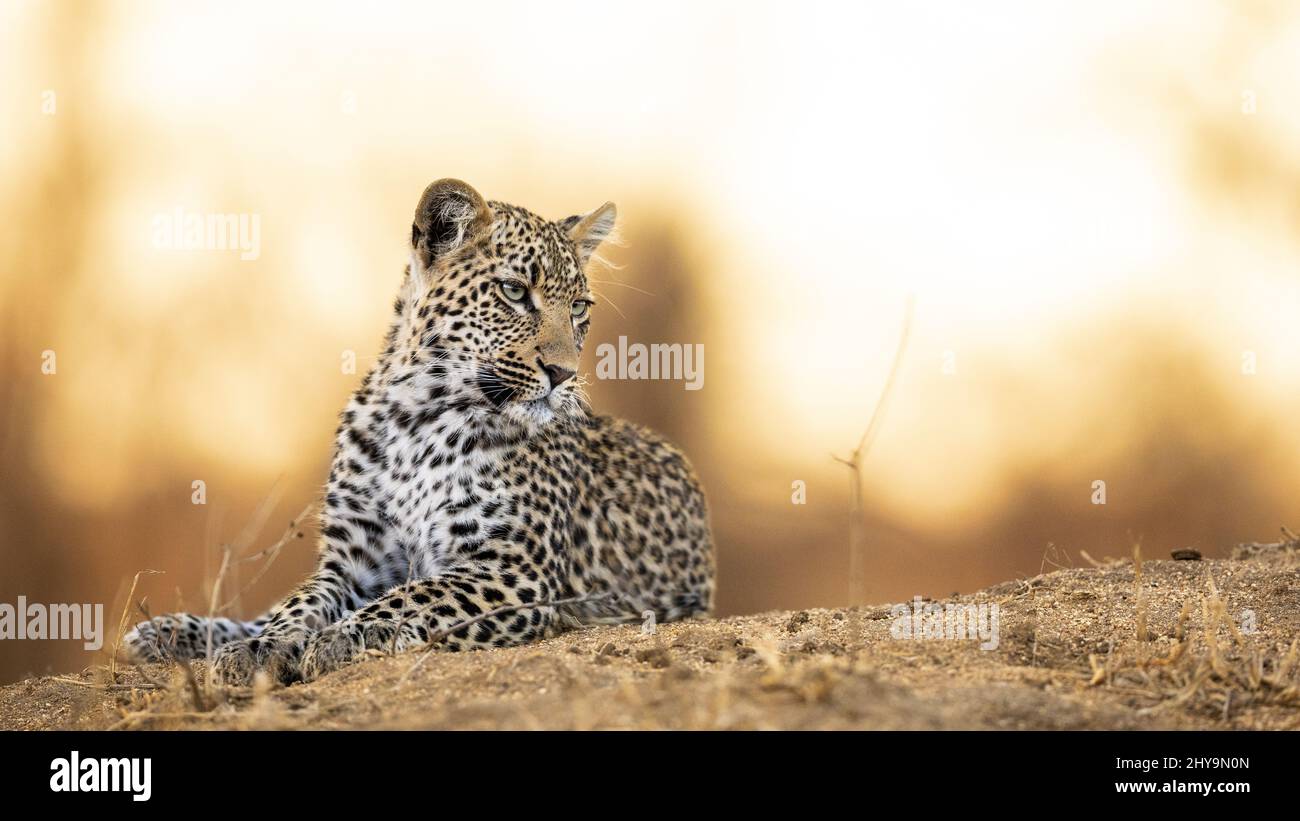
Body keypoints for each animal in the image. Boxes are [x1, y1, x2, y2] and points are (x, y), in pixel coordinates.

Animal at [123, 178, 715, 685]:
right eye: (513, 291)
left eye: (578, 309)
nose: (563, 374)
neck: (420, 412)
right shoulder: (352, 563)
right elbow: (300, 602)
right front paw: (261, 647)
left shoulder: (512, 568)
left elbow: (420, 594)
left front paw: (348, 636)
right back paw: (166, 632)